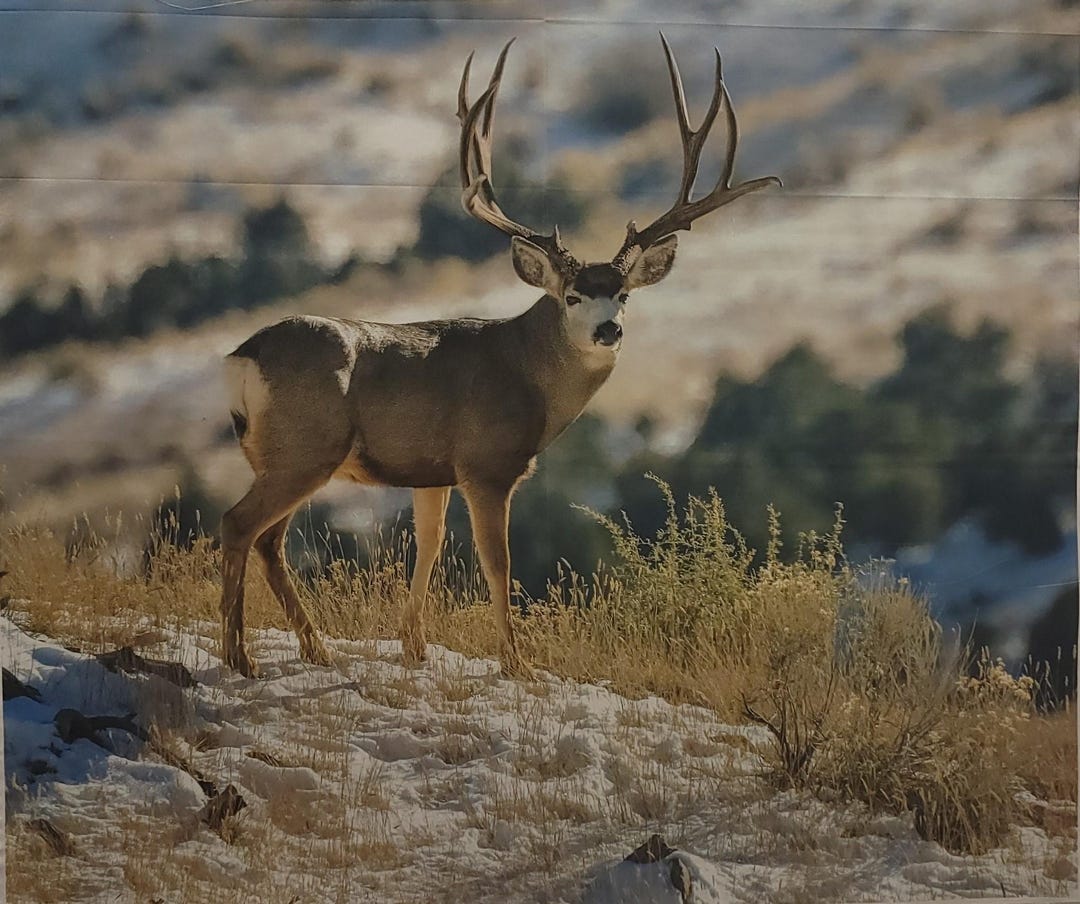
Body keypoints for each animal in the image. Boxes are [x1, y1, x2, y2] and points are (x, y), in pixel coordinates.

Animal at [219, 33, 780, 679]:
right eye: (572, 295)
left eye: (624, 293)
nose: (609, 330)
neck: (526, 373)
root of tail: (242, 356)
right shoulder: (487, 463)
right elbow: (498, 563)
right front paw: (517, 663)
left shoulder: (432, 471)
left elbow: (430, 544)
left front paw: (414, 647)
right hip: (305, 448)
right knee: (239, 525)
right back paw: (238, 656)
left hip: (281, 454)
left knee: (269, 539)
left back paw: (314, 648)